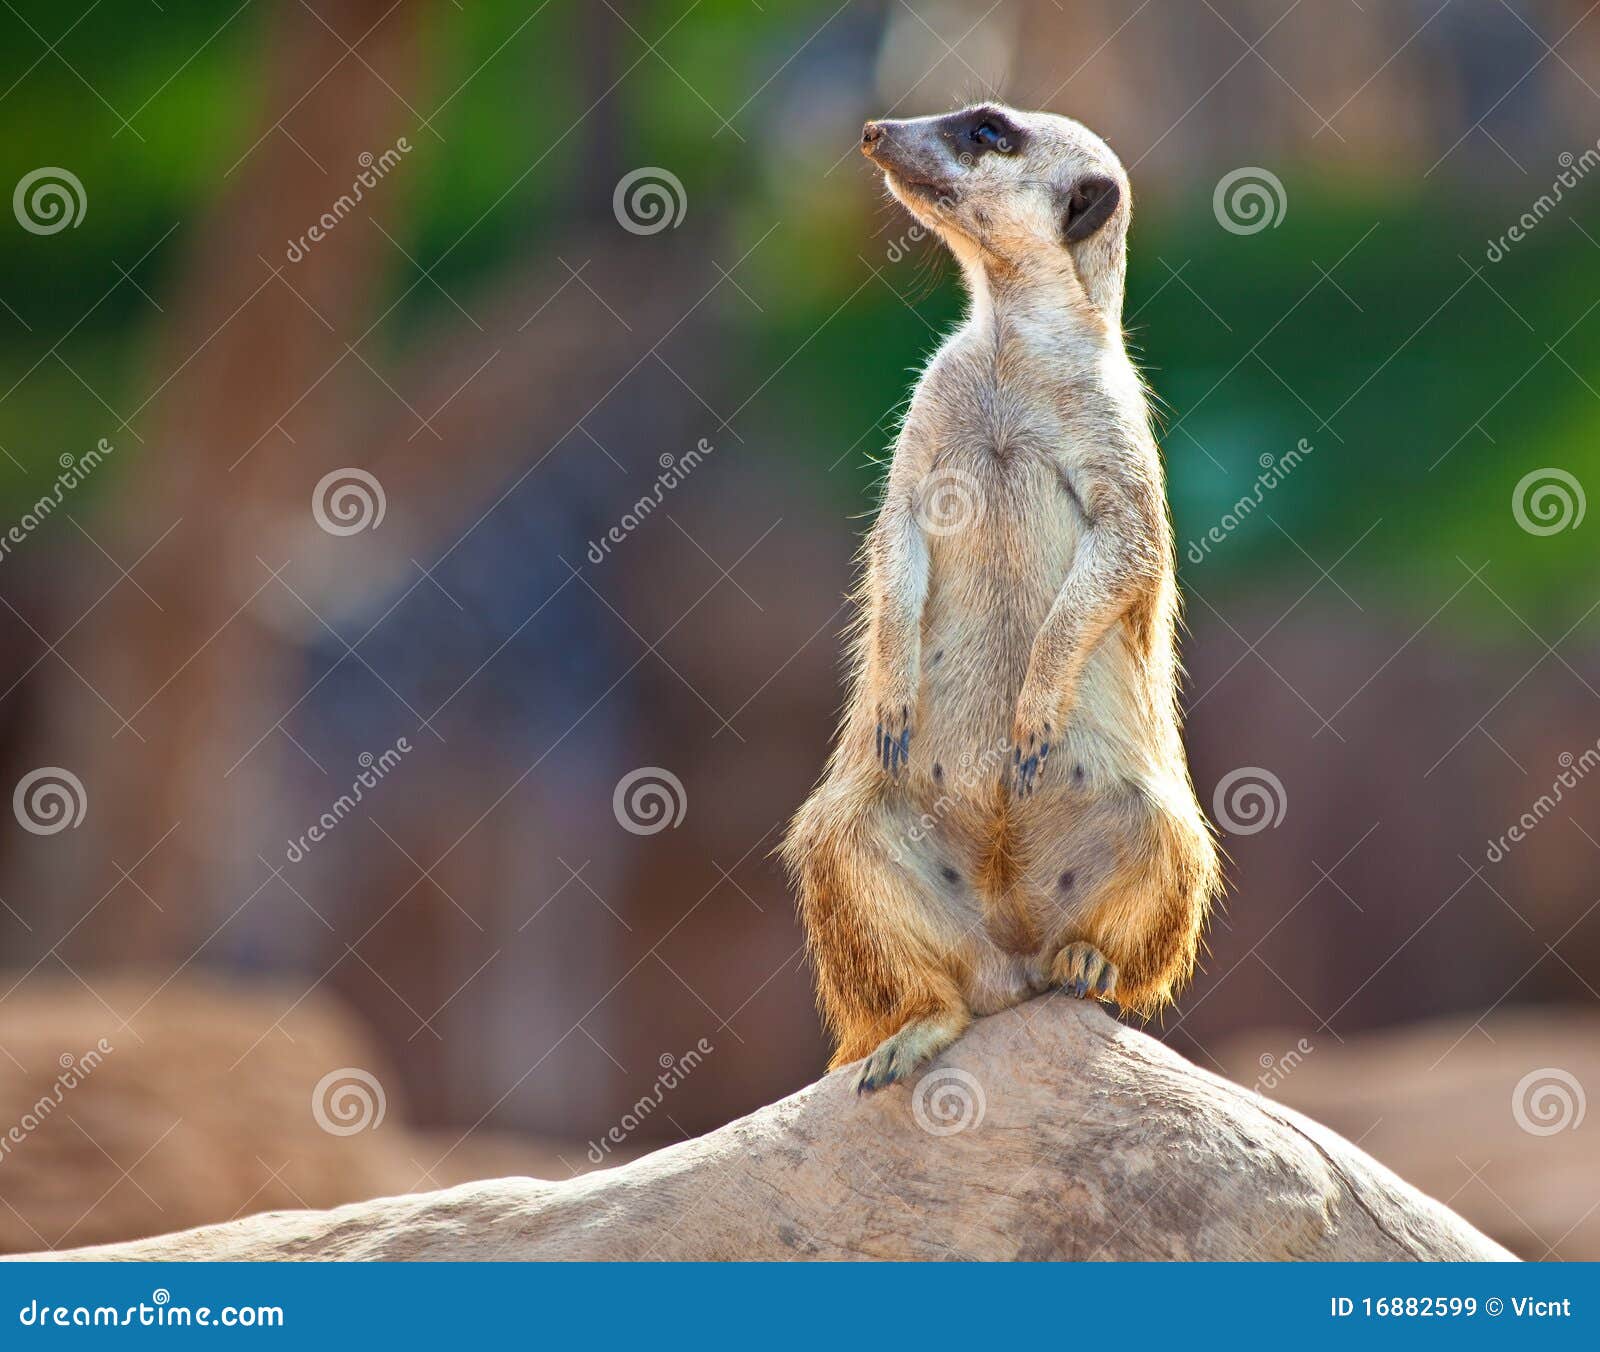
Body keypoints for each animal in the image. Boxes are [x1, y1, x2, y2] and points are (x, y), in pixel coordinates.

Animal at [779, 104, 1221, 1092]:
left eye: (988, 131)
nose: (875, 128)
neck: (1011, 340)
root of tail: (1009, 953)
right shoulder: (930, 406)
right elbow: (898, 526)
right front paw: (893, 687)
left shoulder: (1119, 427)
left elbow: (1129, 545)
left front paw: (1036, 702)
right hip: (863, 828)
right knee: (843, 857)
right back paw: (920, 1021)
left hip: (1152, 824)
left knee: (1167, 857)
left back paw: (1088, 959)